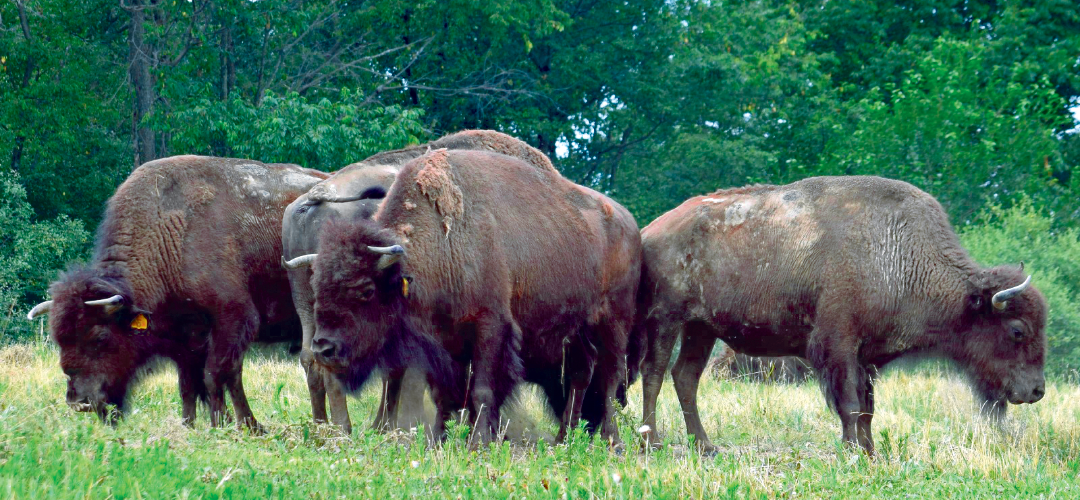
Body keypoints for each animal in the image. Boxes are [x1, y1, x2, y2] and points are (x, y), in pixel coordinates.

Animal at [27, 155, 327, 429]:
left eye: (100, 337)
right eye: (59, 339)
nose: (80, 402)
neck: (172, 233)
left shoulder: (233, 320)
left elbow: (216, 375)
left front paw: (231, 425)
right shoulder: (184, 338)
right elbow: (190, 384)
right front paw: (191, 425)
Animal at [303, 148, 641, 446]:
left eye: (366, 289)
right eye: (316, 288)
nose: (323, 348)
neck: (442, 243)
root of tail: (628, 222)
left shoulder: (489, 326)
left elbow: (481, 390)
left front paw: (478, 443)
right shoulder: (443, 340)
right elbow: (445, 394)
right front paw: (439, 440)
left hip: (613, 322)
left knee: (610, 377)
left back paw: (612, 440)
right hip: (576, 327)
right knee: (582, 371)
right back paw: (564, 439)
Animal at [636, 176, 1046, 454]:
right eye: (1017, 331)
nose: (1036, 390)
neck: (899, 255)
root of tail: (650, 231)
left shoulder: (868, 357)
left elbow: (867, 409)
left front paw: (871, 451)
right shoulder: (839, 347)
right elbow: (850, 405)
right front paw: (855, 451)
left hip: (701, 328)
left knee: (685, 377)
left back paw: (705, 446)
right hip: (667, 319)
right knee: (654, 373)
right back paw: (652, 441)